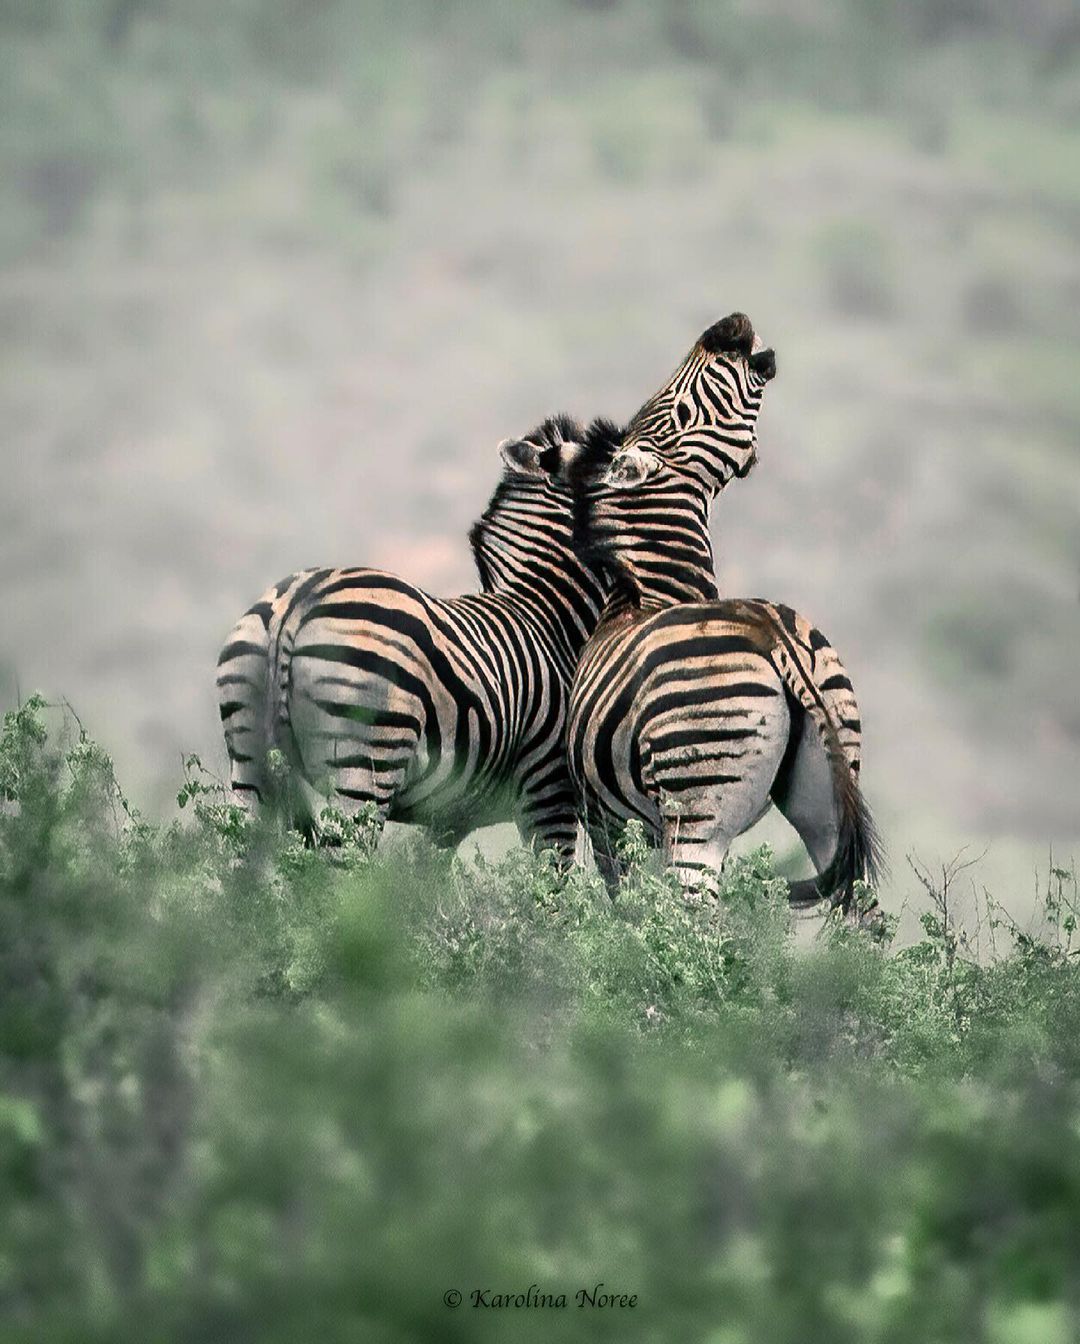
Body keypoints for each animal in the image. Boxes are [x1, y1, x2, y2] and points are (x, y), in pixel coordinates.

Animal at [215, 415, 606, 863]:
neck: (549, 609)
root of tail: (295, 605)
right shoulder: (549, 788)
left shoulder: (453, 815)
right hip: (363, 767)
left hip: (249, 762)